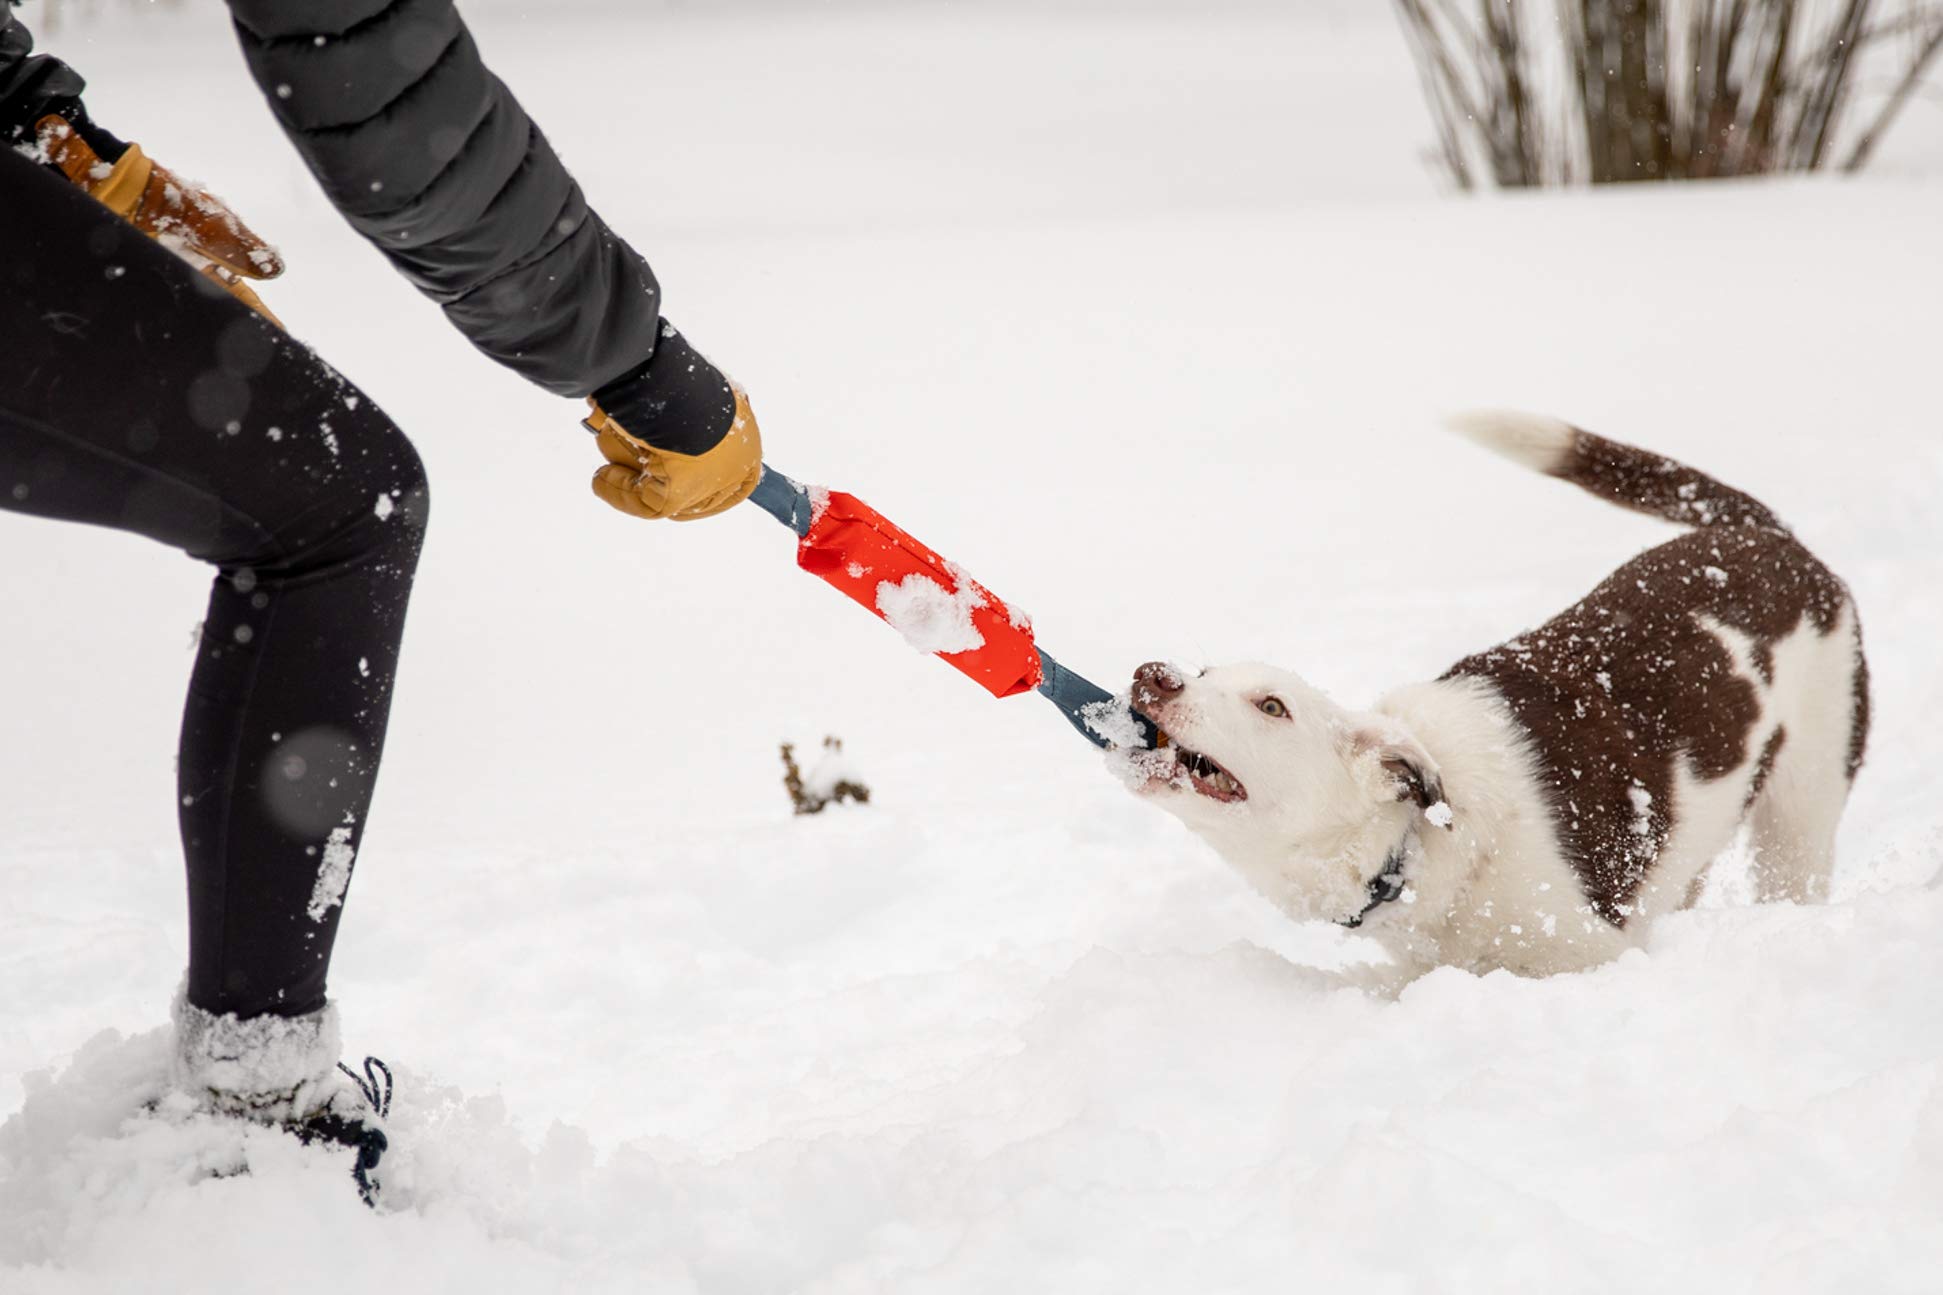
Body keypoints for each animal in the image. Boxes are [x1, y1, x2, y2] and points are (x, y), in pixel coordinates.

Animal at [1126, 414, 1865, 980]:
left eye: (1272, 706)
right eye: (1204, 672)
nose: (1152, 674)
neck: (1420, 841)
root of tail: (1768, 536)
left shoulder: (1586, 954)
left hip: (1800, 812)